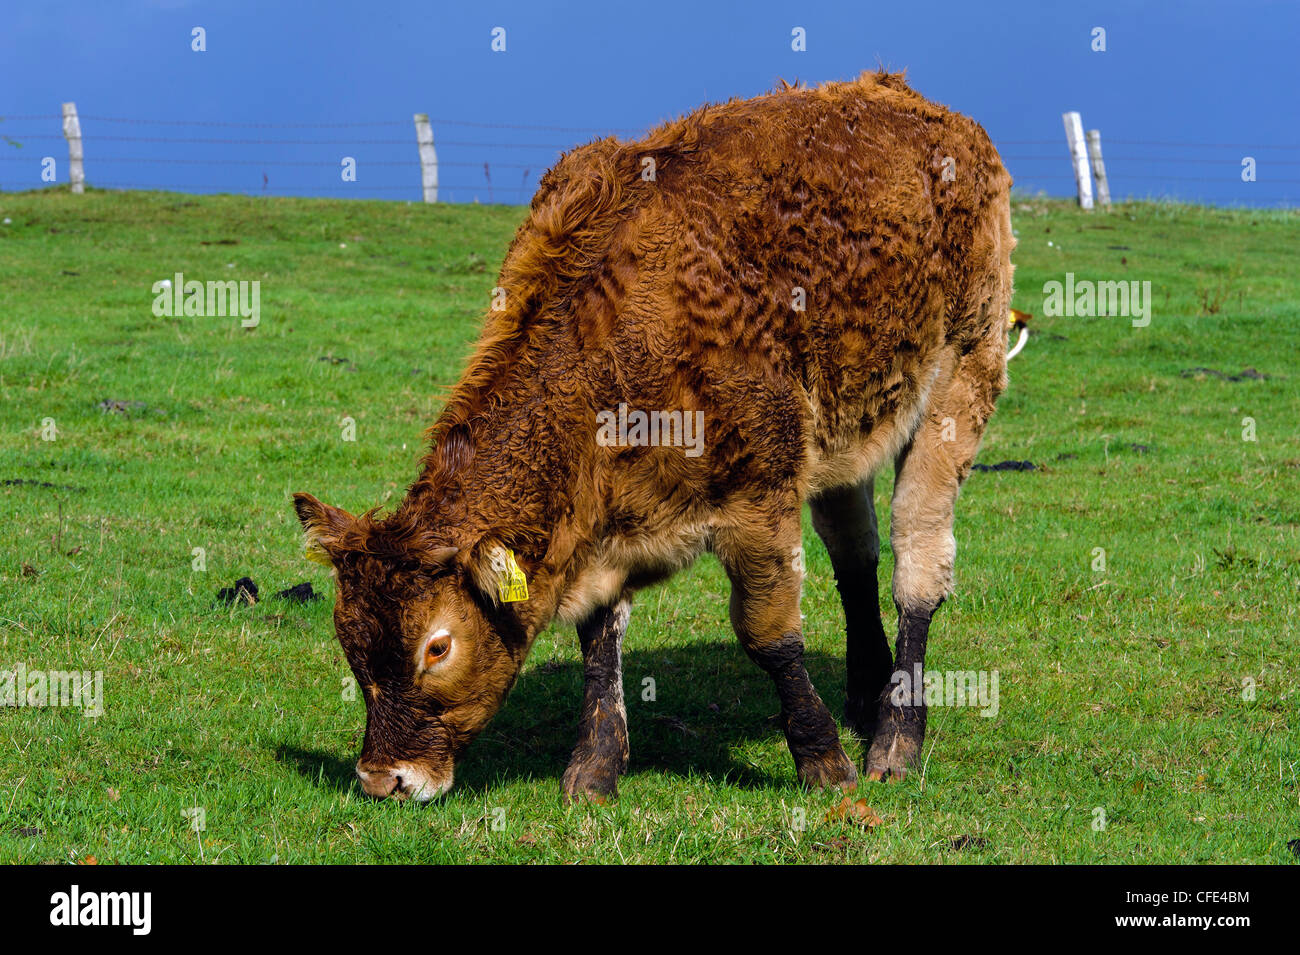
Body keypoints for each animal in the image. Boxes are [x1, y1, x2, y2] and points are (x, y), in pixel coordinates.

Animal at [293, 70, 1014, 802]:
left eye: (437, 646)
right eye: (348, 640)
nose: (383, 777)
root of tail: (900, 96)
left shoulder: (760, 492)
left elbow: (770, 635)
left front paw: (822, 760)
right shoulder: (598, 517)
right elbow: (597, 636)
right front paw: (595, 763)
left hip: (964, 374)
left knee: (917, 562)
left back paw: (896, 737)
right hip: (848, 425)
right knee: (855, 553)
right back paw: (867, 694)